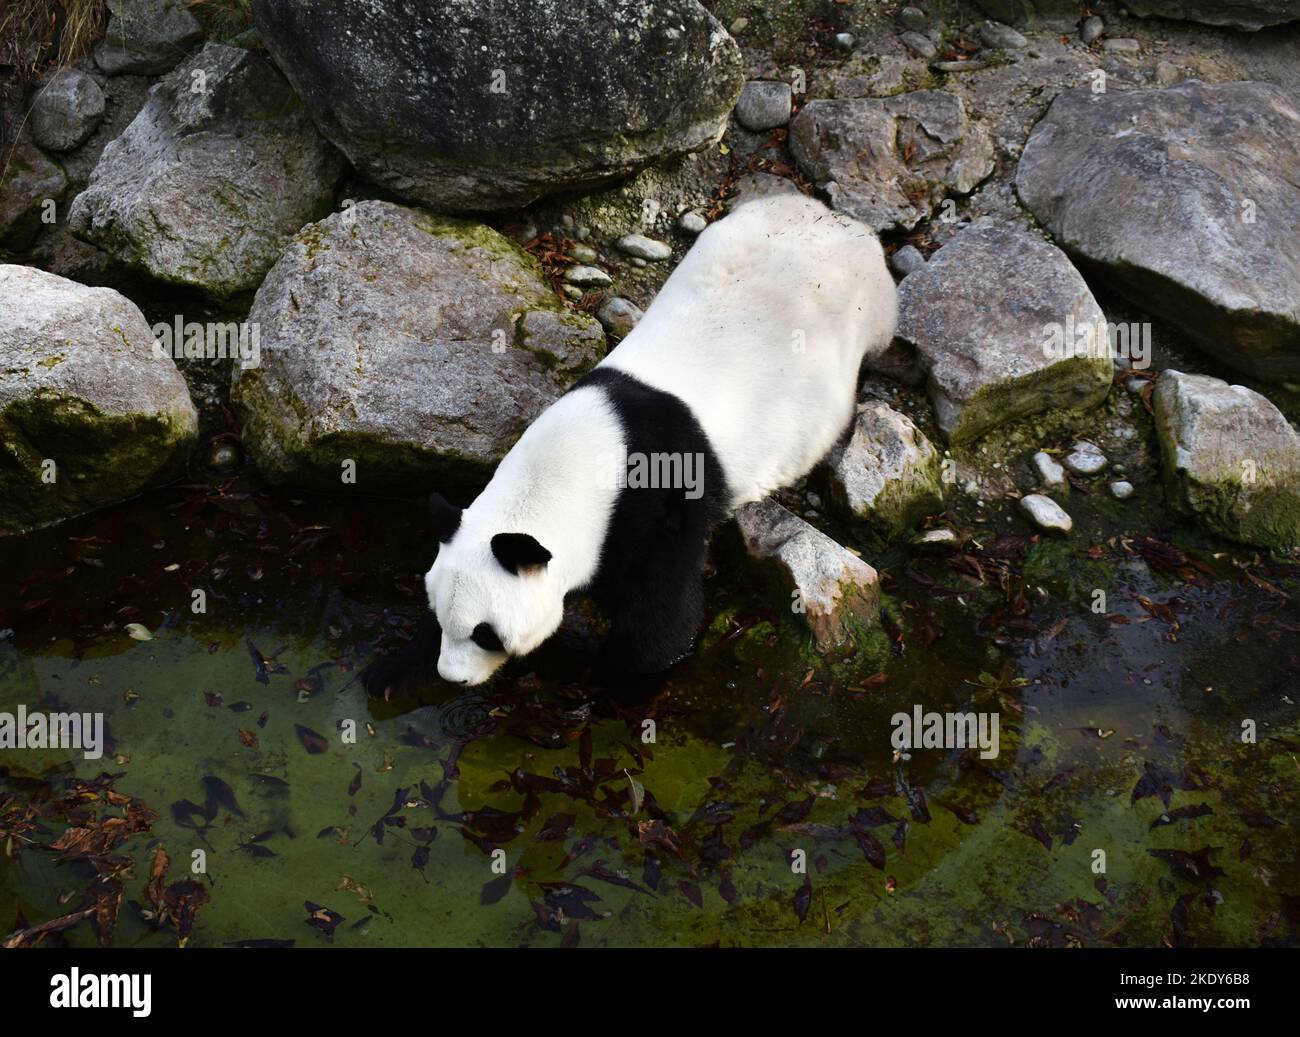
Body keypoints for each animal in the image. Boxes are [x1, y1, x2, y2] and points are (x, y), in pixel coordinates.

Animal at [364, 192, 896, 693]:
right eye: (441, 618)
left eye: (486, 634)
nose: (453, 678)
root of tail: (840, 220)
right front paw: (394, 671)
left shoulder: (654, 505)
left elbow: (659, 613)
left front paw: (613, 679)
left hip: (861, 315)